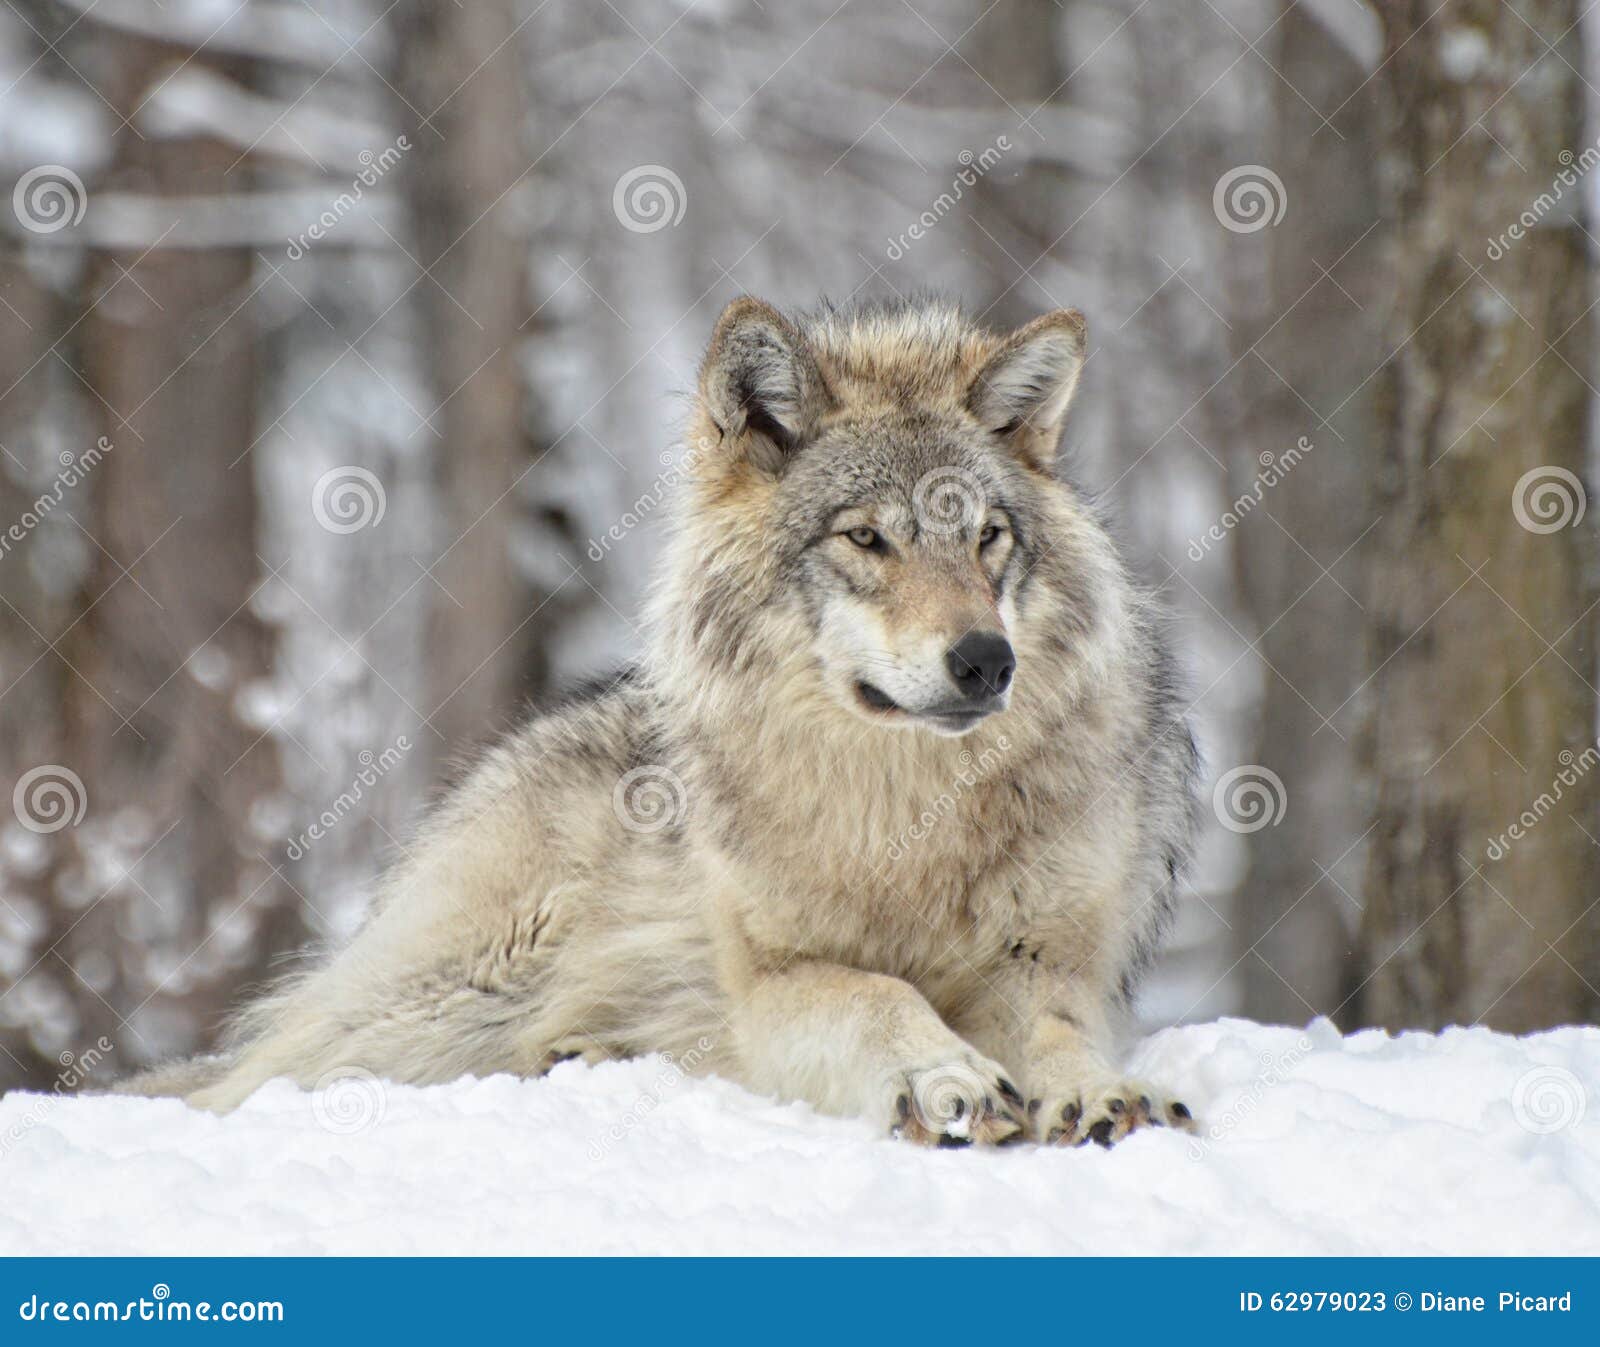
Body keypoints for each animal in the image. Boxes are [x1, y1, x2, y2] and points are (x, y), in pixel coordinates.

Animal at [124, 296, 1200, 1148]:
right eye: (865, 538)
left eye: (988, 537)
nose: (985, 660)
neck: (905, 814)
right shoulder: (773, 978)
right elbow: (876, 994)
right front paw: (948, 1076)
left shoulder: (1047, 960)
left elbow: (1058, 1029)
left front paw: (1102, 1092)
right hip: (449, 1001)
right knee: (253, 1075)